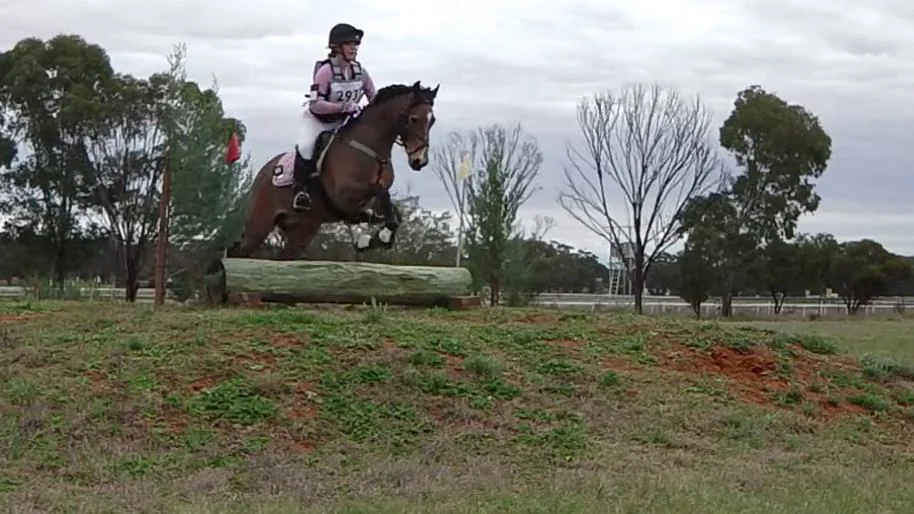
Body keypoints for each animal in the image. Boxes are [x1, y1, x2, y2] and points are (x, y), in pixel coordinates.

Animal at [225, 80, 439, 260]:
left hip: (302, 230)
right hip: (259, 225)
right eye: (413, 119)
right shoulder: (345, 193)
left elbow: (392, 210)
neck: (372, 151)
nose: (420, 161)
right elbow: (382, 193)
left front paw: (370, 239)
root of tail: (264, 172)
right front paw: (379, 237)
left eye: (433, 120)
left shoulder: (368, 201)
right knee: (240, 251)